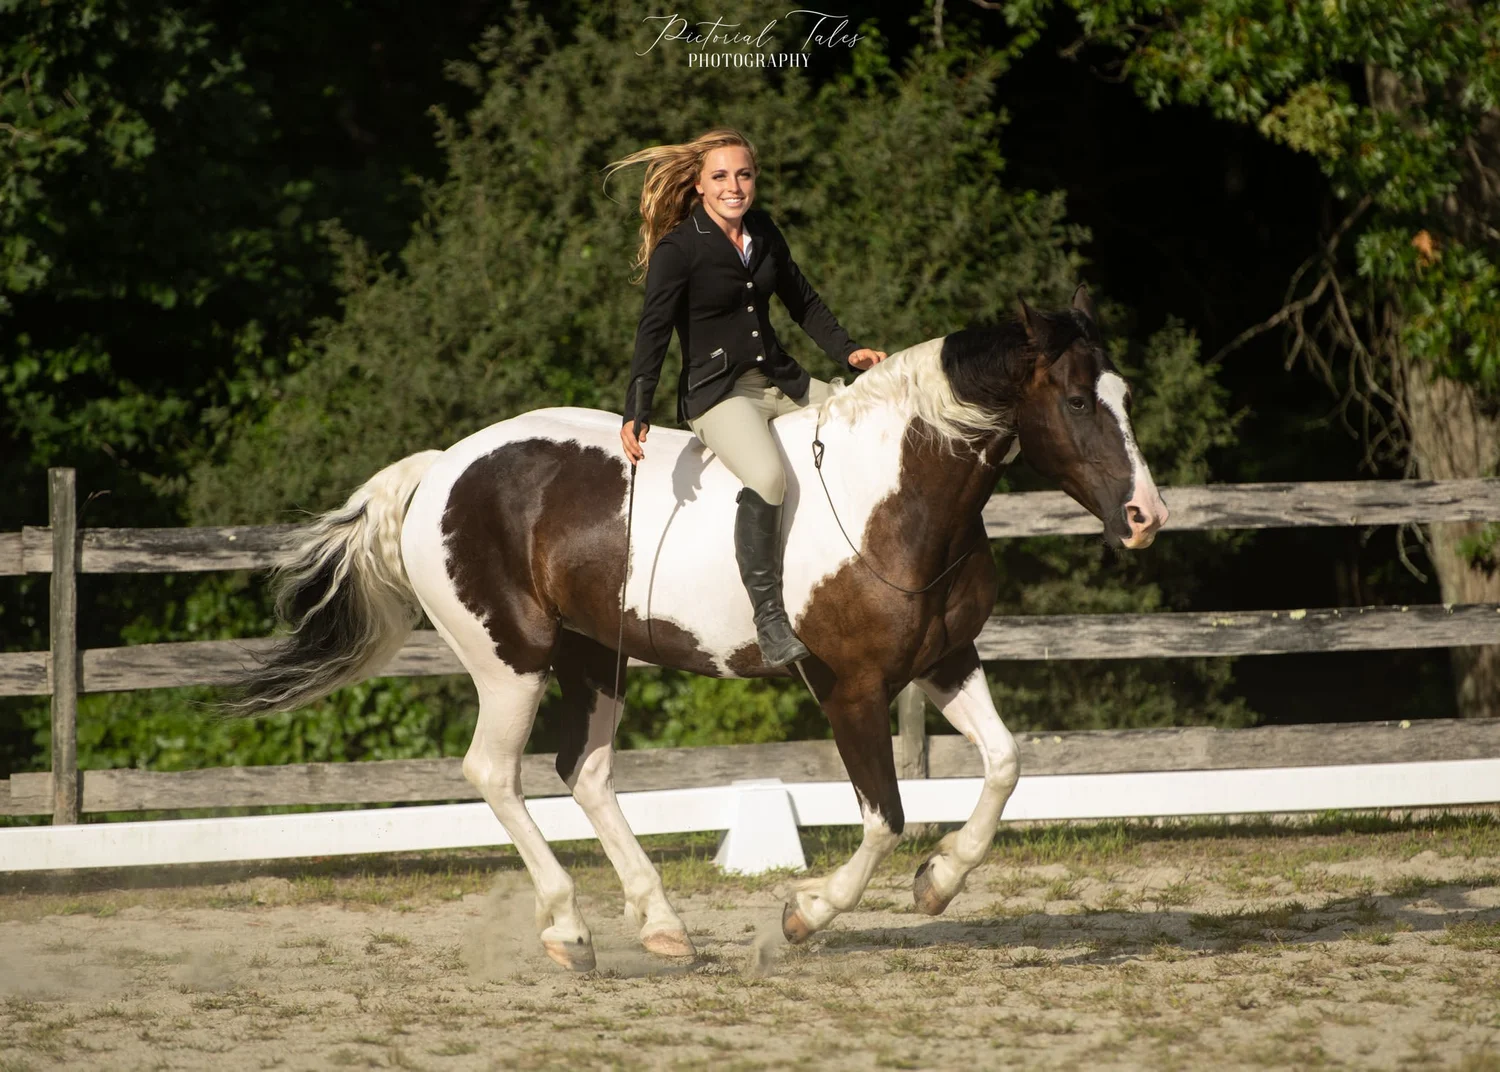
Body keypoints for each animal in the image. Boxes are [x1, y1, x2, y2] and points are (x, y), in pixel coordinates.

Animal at [230, 285, 1167, 972]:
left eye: (1124, 395)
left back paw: (661, 924)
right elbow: (882, 818)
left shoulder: (944, 661)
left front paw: (937, 884)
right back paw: (570, 932)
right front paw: (802, 916)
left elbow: (1005, 765)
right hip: (512, 664)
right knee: (495, 773)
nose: (1145, 517)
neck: (896, 494)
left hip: (595, 659)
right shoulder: (851, 690)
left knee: (585, 773)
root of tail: (441, 470)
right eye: (1077, 400)